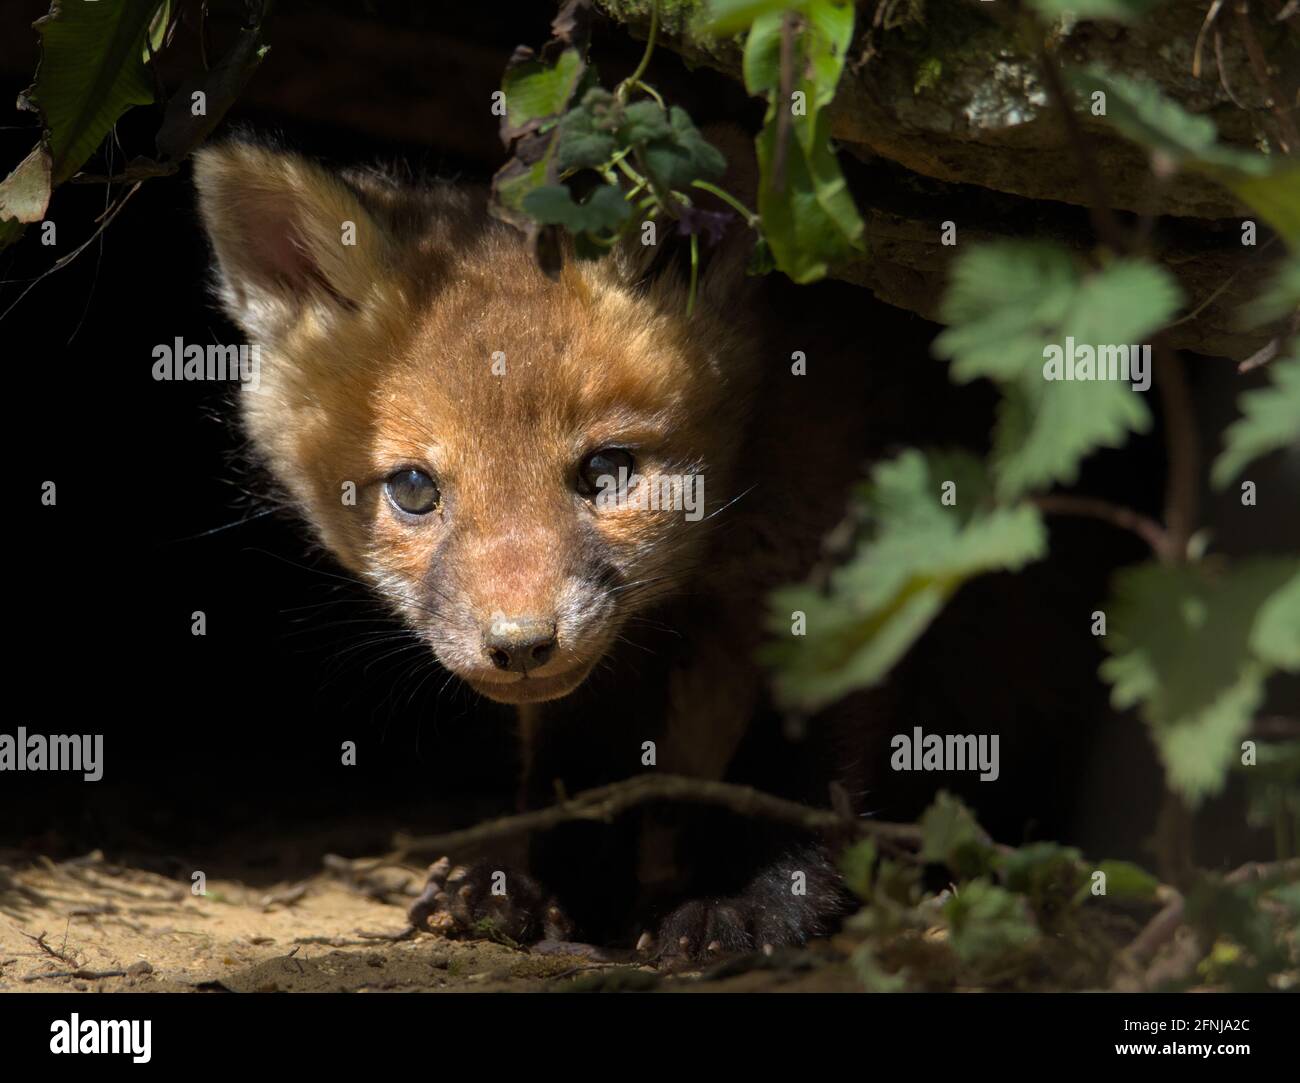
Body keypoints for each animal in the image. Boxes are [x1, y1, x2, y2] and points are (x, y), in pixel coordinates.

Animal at [193, 135, 877, 959]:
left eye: (607, 471)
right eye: (414, 488)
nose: (520, 643)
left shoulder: (827, 564)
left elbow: (791, 771)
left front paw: (747, 903)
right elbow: (576, 766)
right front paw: (540, 893)